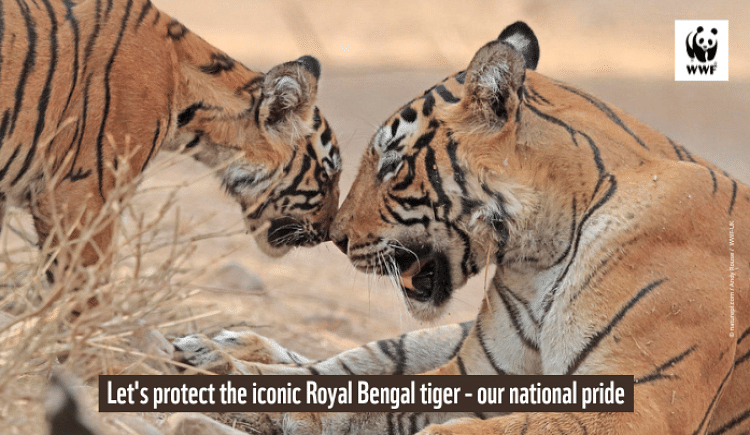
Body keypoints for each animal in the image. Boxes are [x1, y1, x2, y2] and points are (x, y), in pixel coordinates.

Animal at [169, 21, 749, 435]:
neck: (543, 254)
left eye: (391, 164)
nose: (336, 237)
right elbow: (371, 394)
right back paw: (211, 352)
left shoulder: (639, 405)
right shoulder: (482, 370)